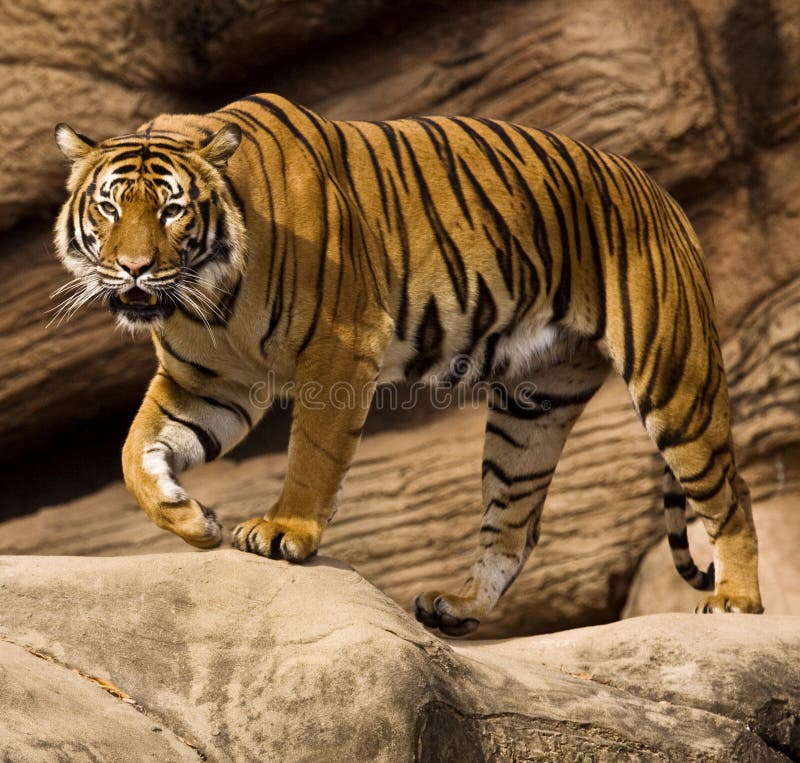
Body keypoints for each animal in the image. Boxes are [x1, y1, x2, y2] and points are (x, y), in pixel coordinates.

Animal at [53, 92, 762, 636]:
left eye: (172, 209)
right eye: (109, 207)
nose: (134, 268)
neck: (210, 299)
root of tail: (659, 191)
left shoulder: (339, 346)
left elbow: (312, 452)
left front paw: (284, 530)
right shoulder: (205, 381)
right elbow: (133, 452)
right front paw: (191, 521)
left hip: (673, 376)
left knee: (730, 491)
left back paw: (736, 601)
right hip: (531, 408)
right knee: (515, 523)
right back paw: (457, 607)